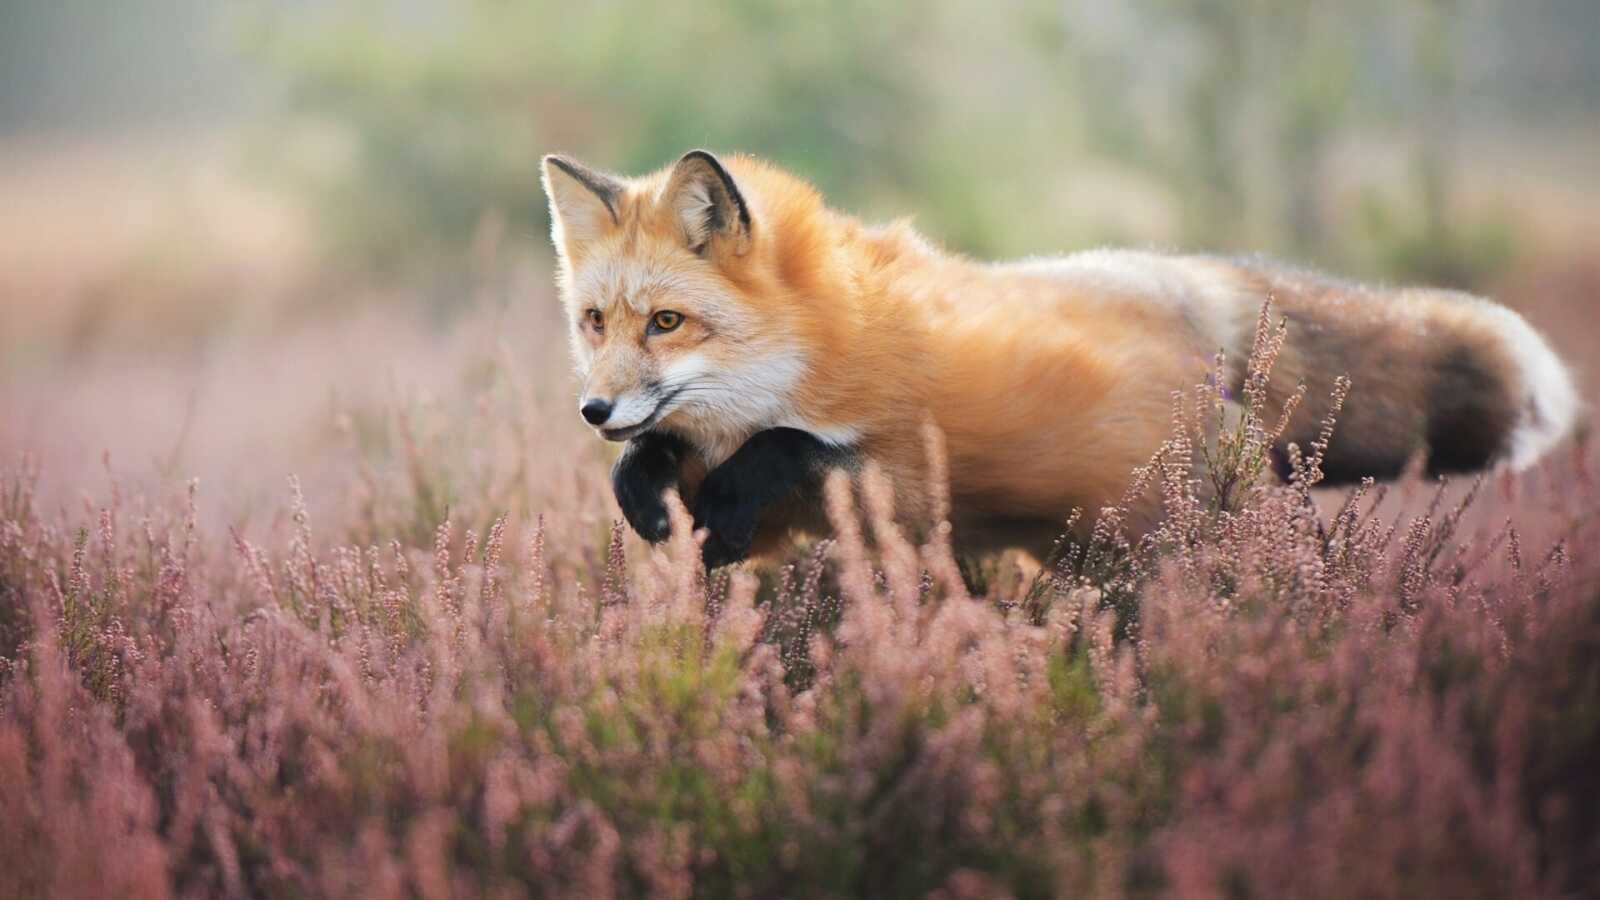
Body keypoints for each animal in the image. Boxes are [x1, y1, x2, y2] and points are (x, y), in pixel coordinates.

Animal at [541, 149, 1582, 567]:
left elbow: (792, 446)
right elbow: (674, 462)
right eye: (594, 323)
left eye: (666, 323)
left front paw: (725, 478)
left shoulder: (909, 474)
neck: (822, 340)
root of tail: (1179, 274)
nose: (592, 412)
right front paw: (645, 489)